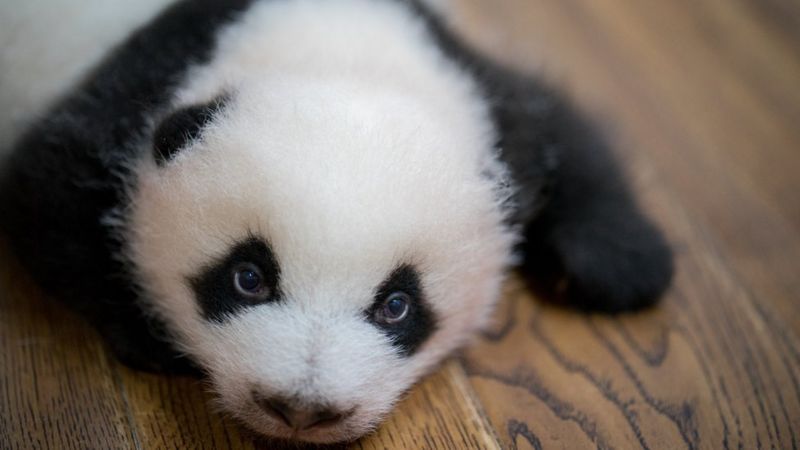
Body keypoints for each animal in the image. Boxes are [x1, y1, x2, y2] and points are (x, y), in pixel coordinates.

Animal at [0, 0, 673, 444]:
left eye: (397, 306)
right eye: (248, 278)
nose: (301, 409)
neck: (339, 55)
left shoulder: (479, 90)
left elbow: (561, 127)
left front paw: (622, 266)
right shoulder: (135, 92)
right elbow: (46, 186)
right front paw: (151, 333)